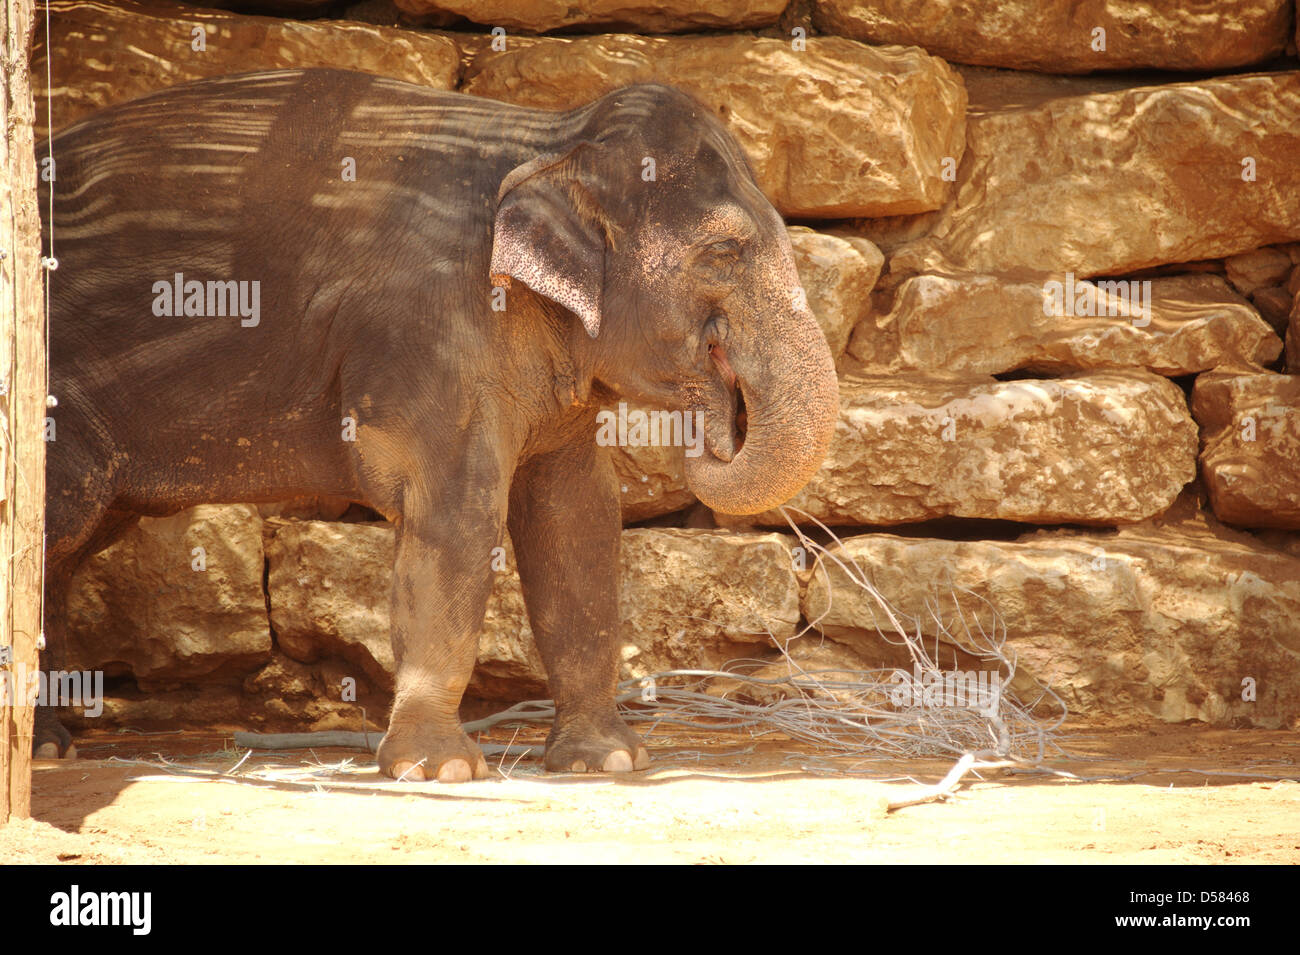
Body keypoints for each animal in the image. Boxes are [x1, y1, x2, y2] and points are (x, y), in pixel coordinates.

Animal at [36, 68, 840, 781]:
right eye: (725, 252)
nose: (720, 419)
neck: (550, 139)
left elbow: (577, 516)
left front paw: (607, 761)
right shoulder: (430, 331)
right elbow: (458, 513)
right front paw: (441, 770)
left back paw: (48, 742)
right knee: (62, 520)